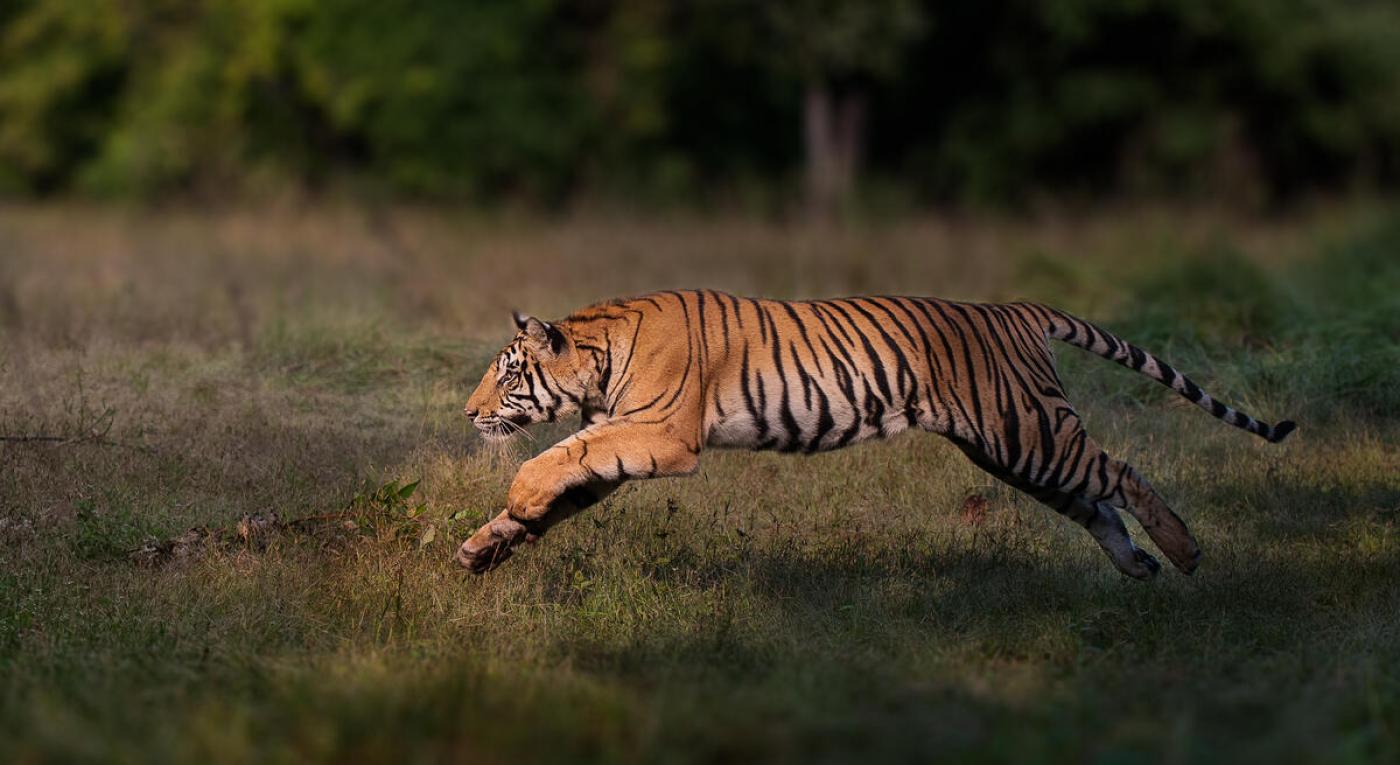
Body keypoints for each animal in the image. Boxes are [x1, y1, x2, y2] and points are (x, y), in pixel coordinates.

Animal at [458, 290, 1295, 579]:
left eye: (507, 374)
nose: (466, 412)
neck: (598, 355)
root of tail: (1016, 309)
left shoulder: (661, 435)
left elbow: (556, 457)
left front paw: (516, 499)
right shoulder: (622, 437)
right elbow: (564, 477)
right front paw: (488, 543)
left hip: (1029, 433)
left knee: (1122, 473)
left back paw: (1183, 552)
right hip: (1016, 451)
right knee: (1094, 501)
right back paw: (1137, 566)